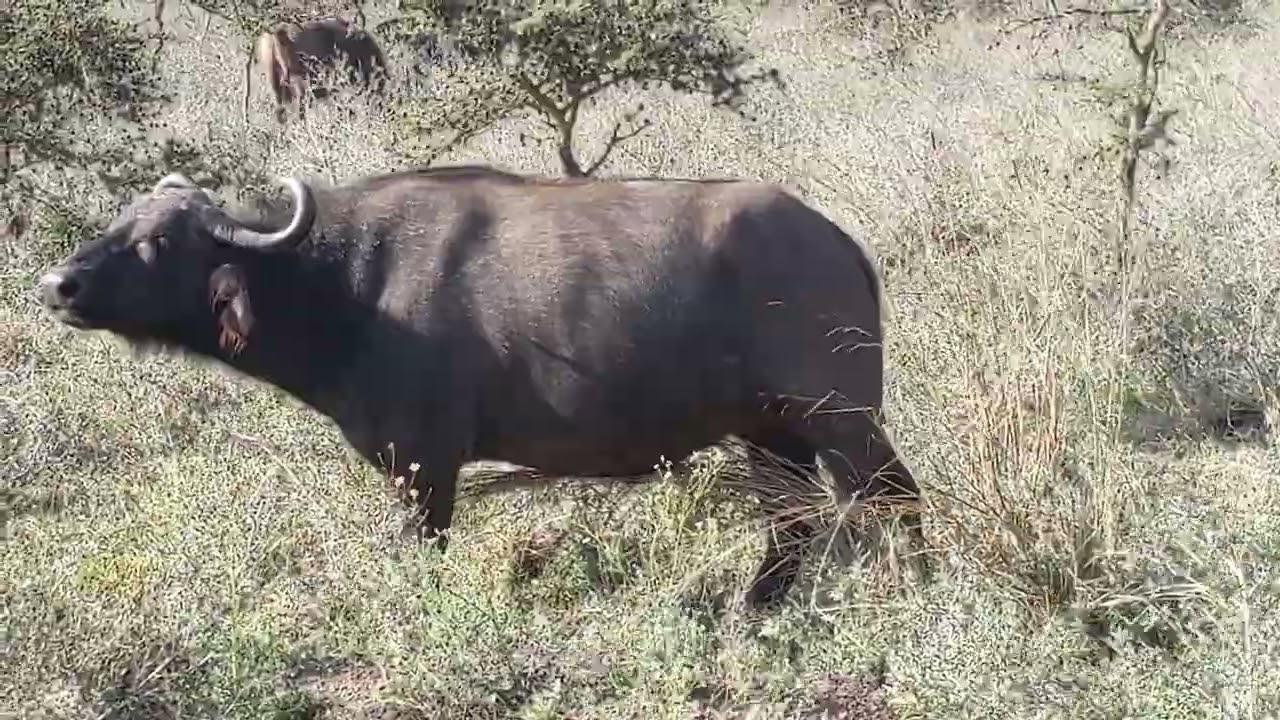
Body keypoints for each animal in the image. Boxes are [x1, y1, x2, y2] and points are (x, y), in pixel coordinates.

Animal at [35, 165, 922, 608]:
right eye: (117, 223)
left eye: (156, 241)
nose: (56, 285)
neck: (348, 289)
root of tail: (835, 239)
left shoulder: (424, 468)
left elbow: (422, 554)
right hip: (771, 434)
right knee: (792, 523)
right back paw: (754, 605)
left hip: (841, 423)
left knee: (893, 498)